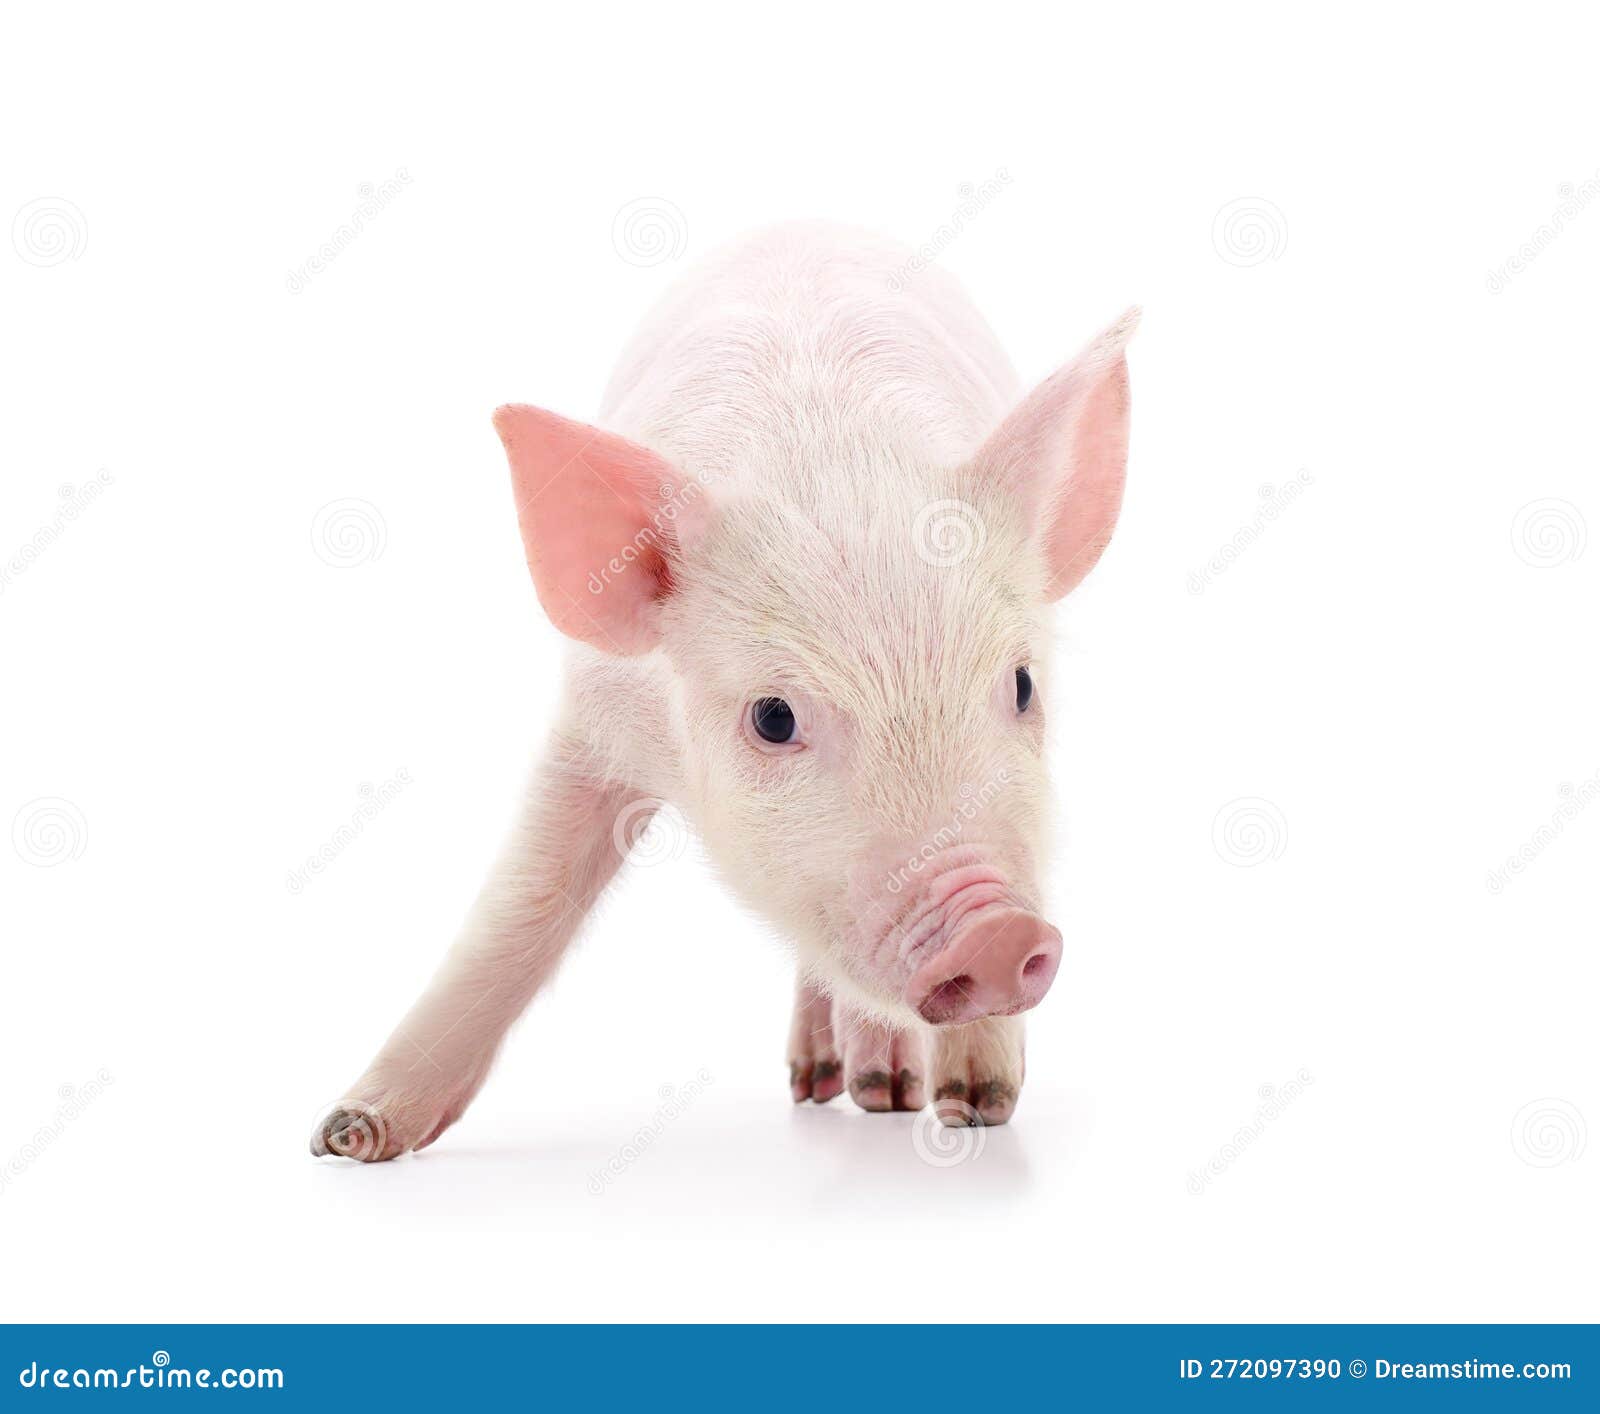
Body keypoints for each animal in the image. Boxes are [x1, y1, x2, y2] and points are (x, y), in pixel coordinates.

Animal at [311, 221, 1135, 1160]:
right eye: (773, 718)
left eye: (1023, 683)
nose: (997, 930)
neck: (834, 466)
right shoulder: (594, 719)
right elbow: (522, 905)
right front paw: (347, 1138)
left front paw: (978, 1108)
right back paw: (839, 1087)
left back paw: (884, 1092)